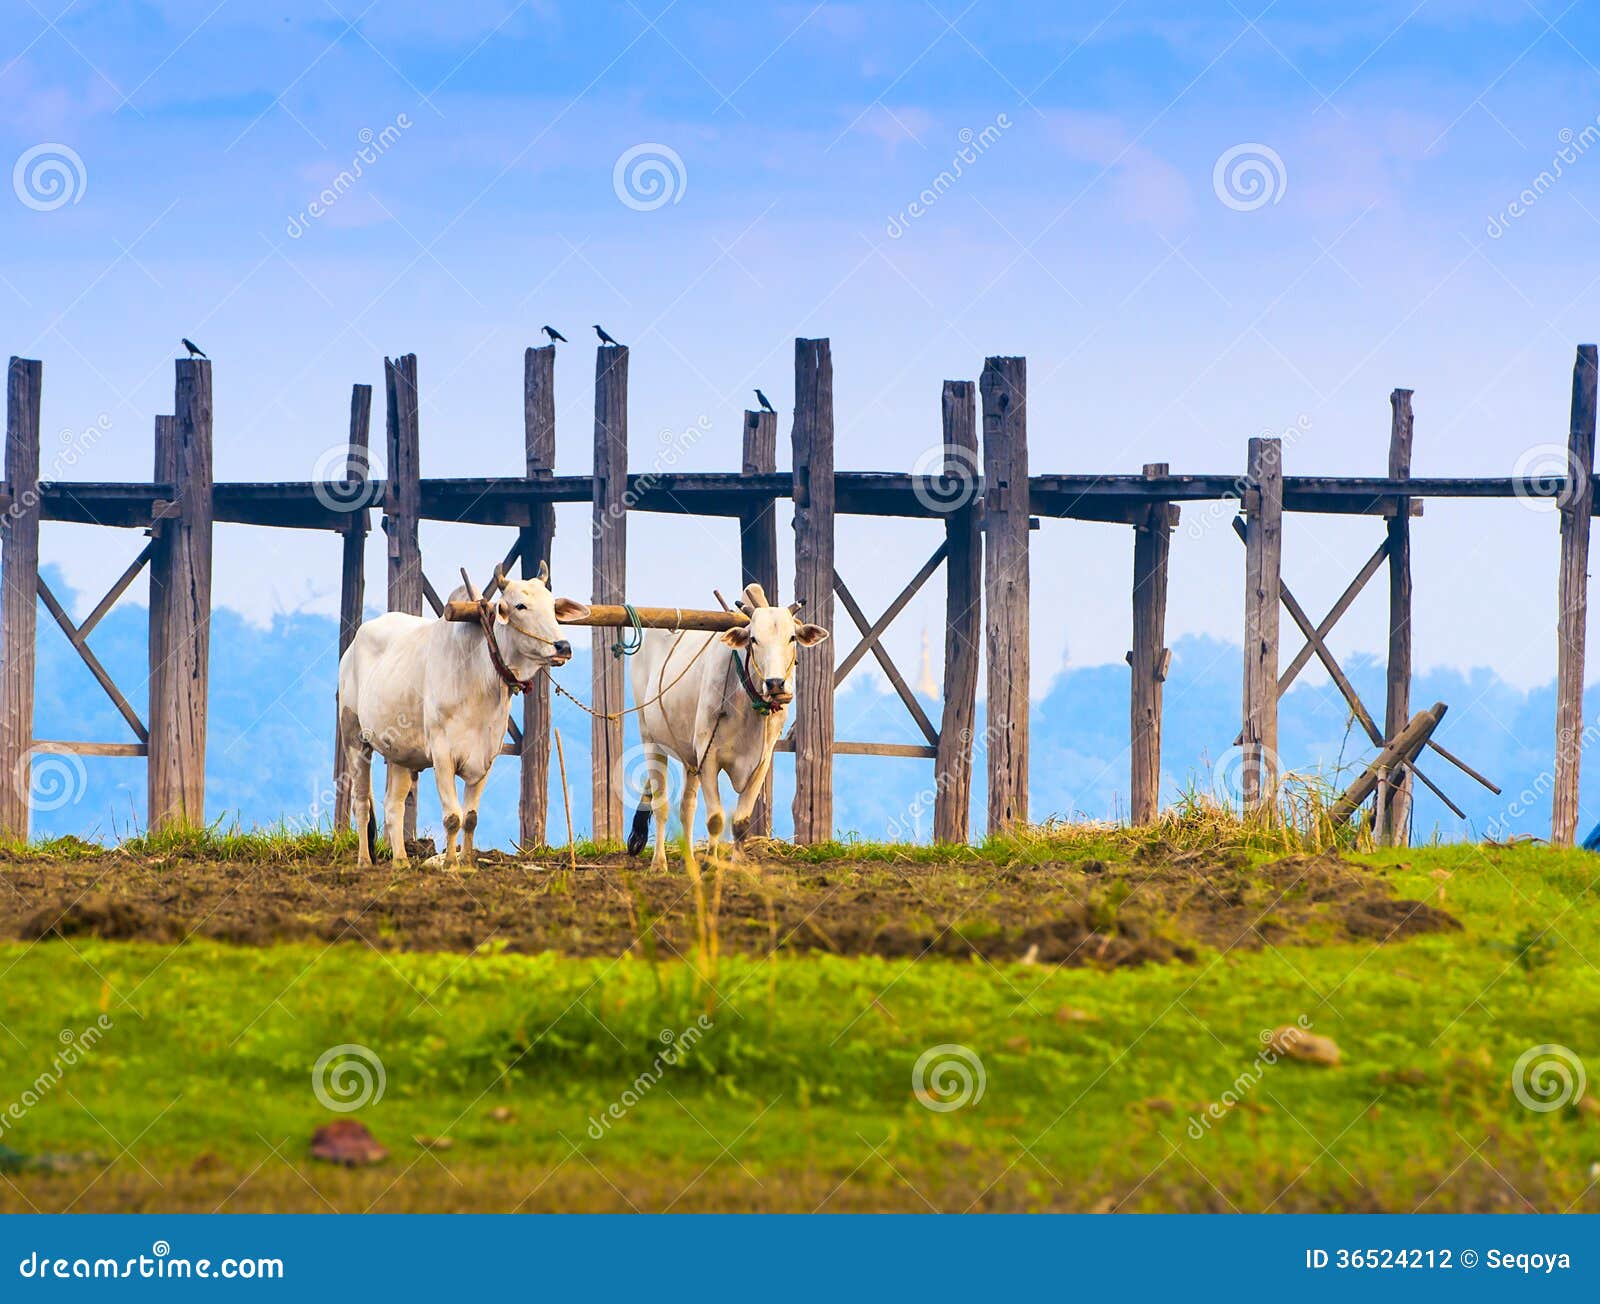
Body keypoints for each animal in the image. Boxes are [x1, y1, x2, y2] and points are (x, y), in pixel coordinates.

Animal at [338, 564, 589, 869]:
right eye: (520, 605)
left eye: (553, 607)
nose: (562, 646)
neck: (478, 677)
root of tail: (352, 646)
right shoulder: (442, 754)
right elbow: (452, 817)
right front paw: (450, 865)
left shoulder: (487, 756)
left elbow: (470, 818)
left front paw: (467, 864)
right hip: (354, 737)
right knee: (361, 802)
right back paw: (364, 861)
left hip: (399, 753)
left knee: (392, 805)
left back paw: (401, 862)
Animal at [625, 582, 828, 870]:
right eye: (753, 639)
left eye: (791, 637)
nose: (776, 684)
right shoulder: (709, 757)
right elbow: (715, 819)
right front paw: (711, 864)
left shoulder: (760, 763)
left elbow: (741, 822)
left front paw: (738, 864)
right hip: (650, 738)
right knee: (661, 805)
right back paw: (659, 863)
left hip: (690, 756)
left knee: (687, 807)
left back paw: (689, 860)